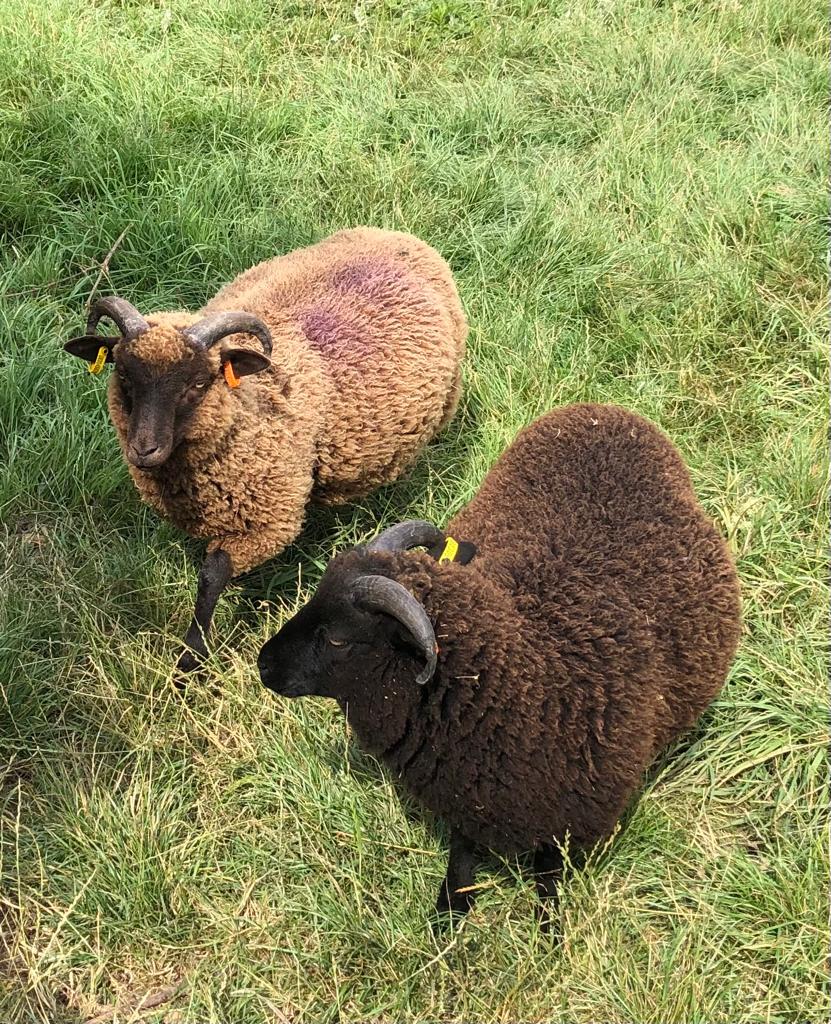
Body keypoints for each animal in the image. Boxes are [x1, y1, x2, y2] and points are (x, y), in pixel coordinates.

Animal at [64, 227, 467, 677]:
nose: (144, 449)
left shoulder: (271, 519)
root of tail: (399, 235)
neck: (245, 401)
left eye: (198, 383)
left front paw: (191, 660)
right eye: (123, 376)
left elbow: (211, 575)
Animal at [257, 403, 741, 927]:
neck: (529, 682)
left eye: (338, 638)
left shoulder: (563, 828)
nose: (263, 665)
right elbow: (458, 871)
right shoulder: (468, 806)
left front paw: (546, 933)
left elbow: (546, 887)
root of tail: (606, 411)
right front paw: (445, 925)